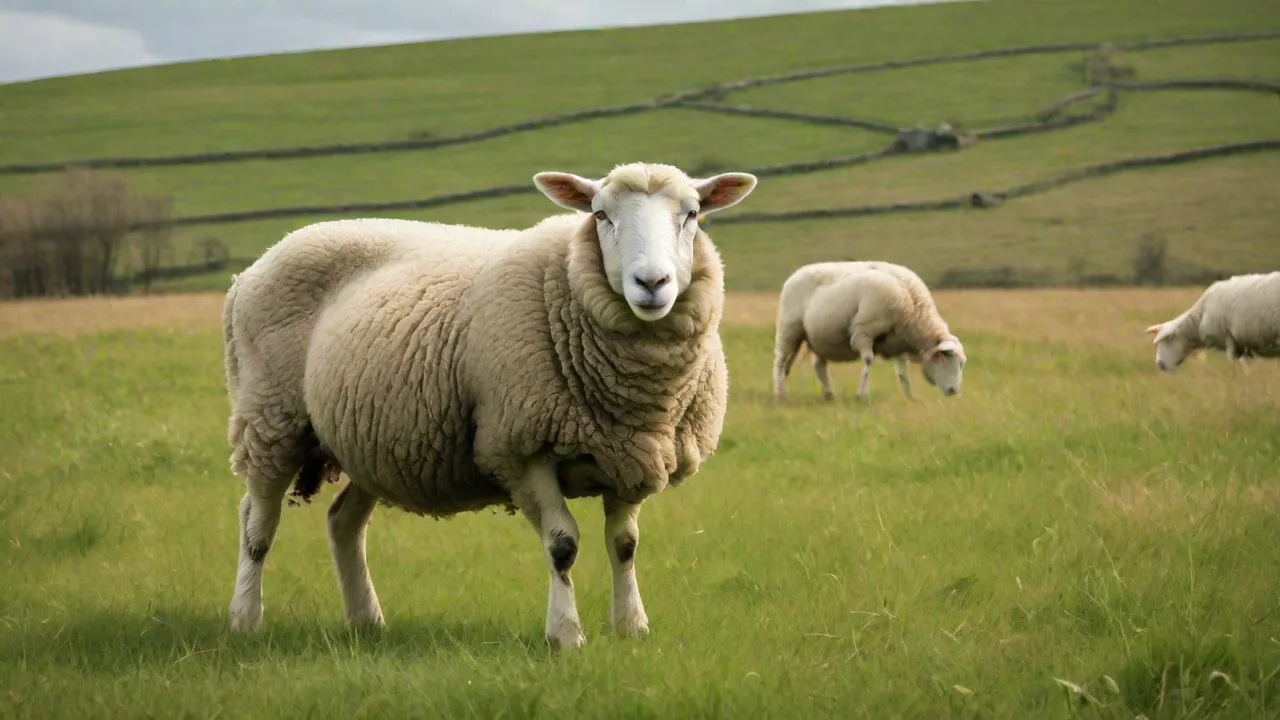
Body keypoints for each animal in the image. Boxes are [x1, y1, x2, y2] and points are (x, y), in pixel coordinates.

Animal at [221, 162, 757, 649]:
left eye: (692, 214)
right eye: (601, 214)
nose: (651, 283)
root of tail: (252, 267)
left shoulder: (630, 452)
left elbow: (624, 545)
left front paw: (631, 627)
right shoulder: (518, 448)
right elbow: (562, 545)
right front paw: (566, 635)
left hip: (366, 437)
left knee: (343, 522)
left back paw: (366, 620)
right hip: (270, 416)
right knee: (257, 521)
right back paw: (245, 618)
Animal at [772, 260, 966, 401]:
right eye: (944, 358)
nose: (954, 391)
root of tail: (795, 274)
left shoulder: (897, 343)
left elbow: (903, 372)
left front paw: (910, 396)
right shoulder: (863, 332)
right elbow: (868, 360)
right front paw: (862, 394)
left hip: (819, 338)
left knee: (819, 366)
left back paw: (828, 395)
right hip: (789, 330)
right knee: (780, 362)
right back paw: (779, 393)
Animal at [1145, 271, 1280, 371]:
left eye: (1167, 340)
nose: (1159, 364)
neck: (1198, 319)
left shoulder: (1228, 336)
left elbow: (1231, 363)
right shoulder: (1244, 344)